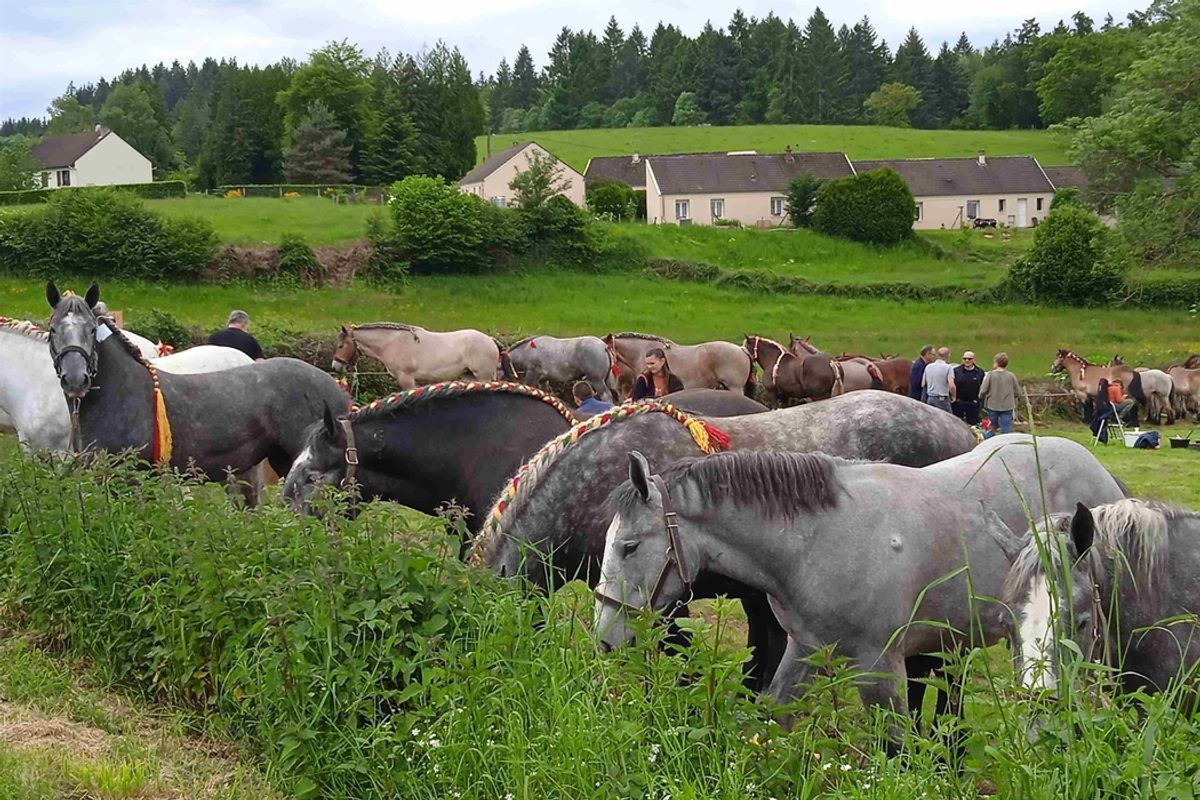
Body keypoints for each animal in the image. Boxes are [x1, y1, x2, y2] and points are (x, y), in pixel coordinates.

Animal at [332, 323, 511, 389]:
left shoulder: (406, 378)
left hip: (483, 376)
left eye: (341, 346)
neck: (392, 342)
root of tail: (490, 339)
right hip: (470, 376)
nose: (335, 366)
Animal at [595, 435, 1128, 751]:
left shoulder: (878, 668)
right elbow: (771, 718)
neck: (818, 539)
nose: (604, 639)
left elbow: (895, 749)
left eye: (629, 546)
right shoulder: (806, 650)